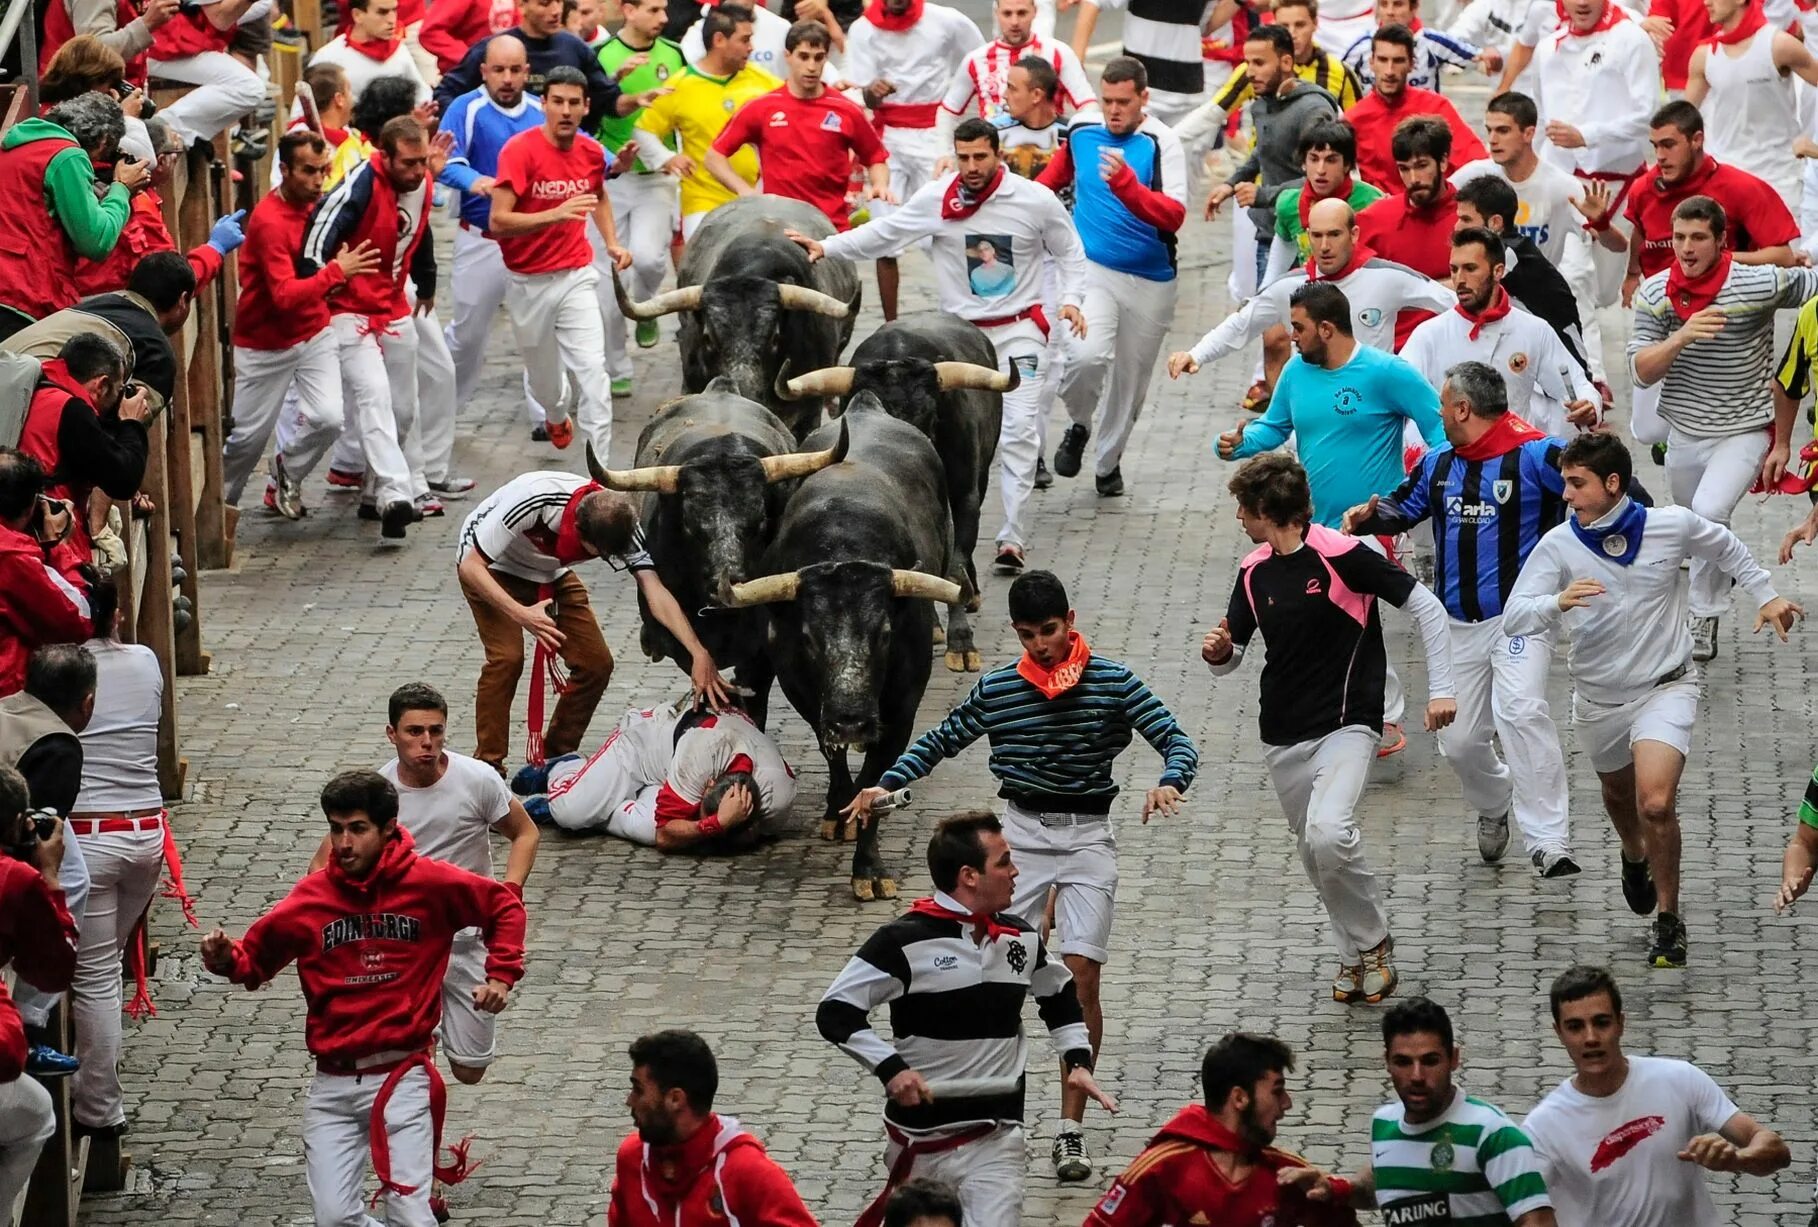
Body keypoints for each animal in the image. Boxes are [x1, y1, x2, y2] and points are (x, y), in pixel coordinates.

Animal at [723, 396, 967, 901]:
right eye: (809, 638)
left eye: (886, 633)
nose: (852, 720)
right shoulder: (809, 697)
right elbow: (832, 754)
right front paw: (839, 813)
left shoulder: (901, 712)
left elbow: (876, 783)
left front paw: (869, 869)